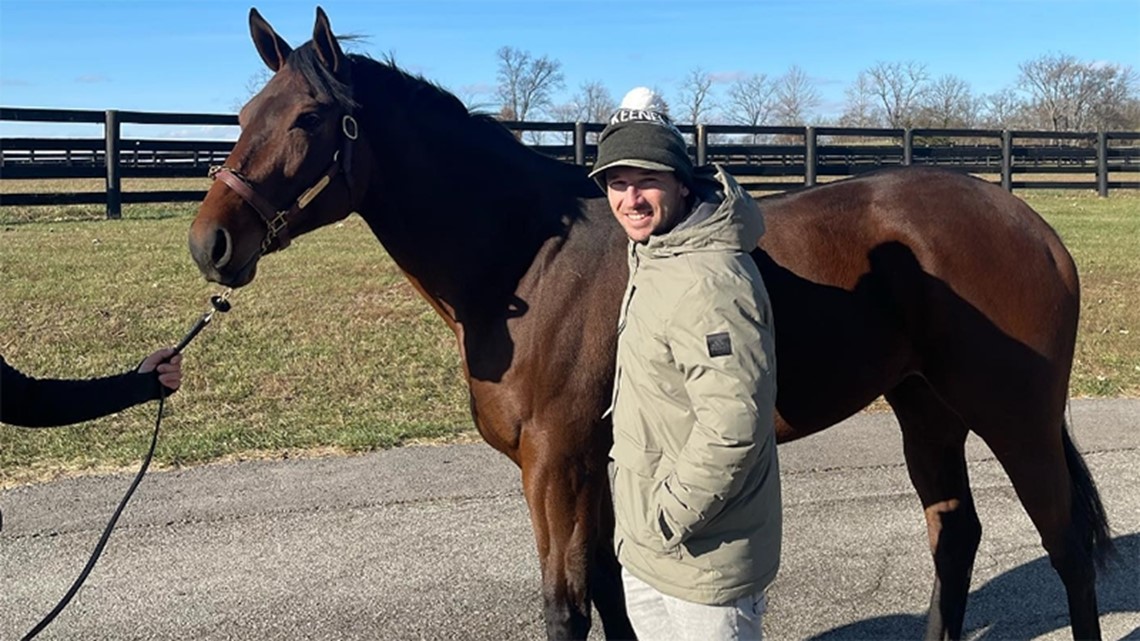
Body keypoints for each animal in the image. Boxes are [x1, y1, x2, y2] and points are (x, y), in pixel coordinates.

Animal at [188, 7, 1113, 640]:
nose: (211, 243)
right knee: (955, 535)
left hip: (1015, 415)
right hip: (925, 407)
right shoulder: (597, 463)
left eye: (308, 119)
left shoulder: (555, 464)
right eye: (240, 117)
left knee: (1066, 546)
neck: (526, 259)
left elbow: (568, 605)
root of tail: (1031, 224)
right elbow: (608, 587)